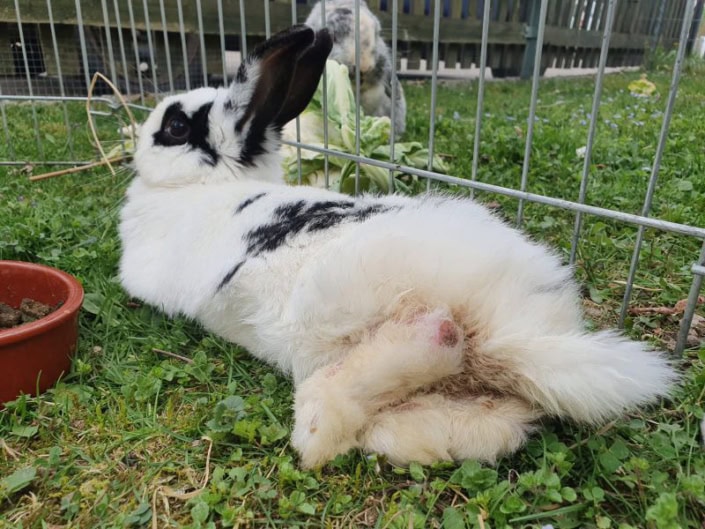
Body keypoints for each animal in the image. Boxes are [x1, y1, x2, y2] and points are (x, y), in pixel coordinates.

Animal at [119, 25, 677, 470]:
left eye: (175, 126)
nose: (138, 141)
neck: (203, 187)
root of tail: (508, 335)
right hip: (470, 400)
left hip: (335, 302)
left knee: (425, 336)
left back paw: (316, 430)